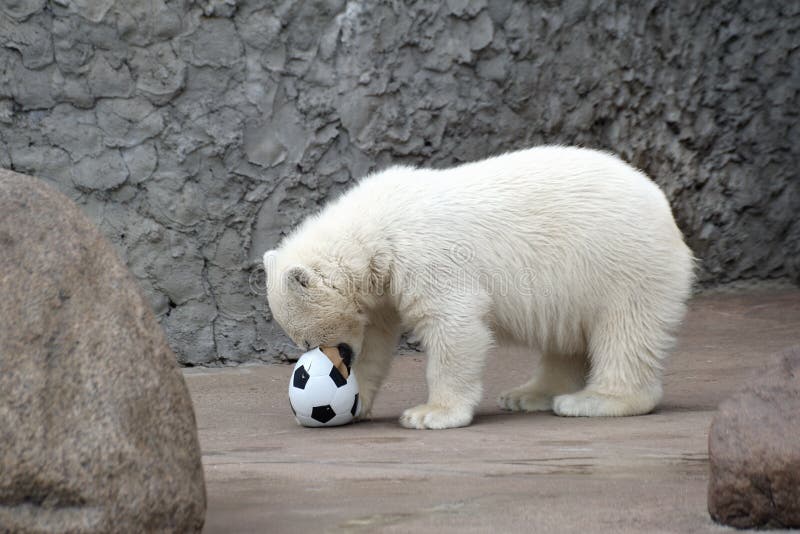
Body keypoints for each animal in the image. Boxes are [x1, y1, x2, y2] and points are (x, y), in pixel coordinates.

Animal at [263, 146, 694, 429]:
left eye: (309, 341)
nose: (335, 366)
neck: (378, 225)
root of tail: (665, 209)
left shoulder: (428, 256)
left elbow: (455, 325)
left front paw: (429, 413)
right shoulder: (384, 287)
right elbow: (377, 340)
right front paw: (359, 403)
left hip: (622, 263)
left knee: (626, 330)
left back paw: (595, 400)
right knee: (566, 337)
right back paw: (528, 394)